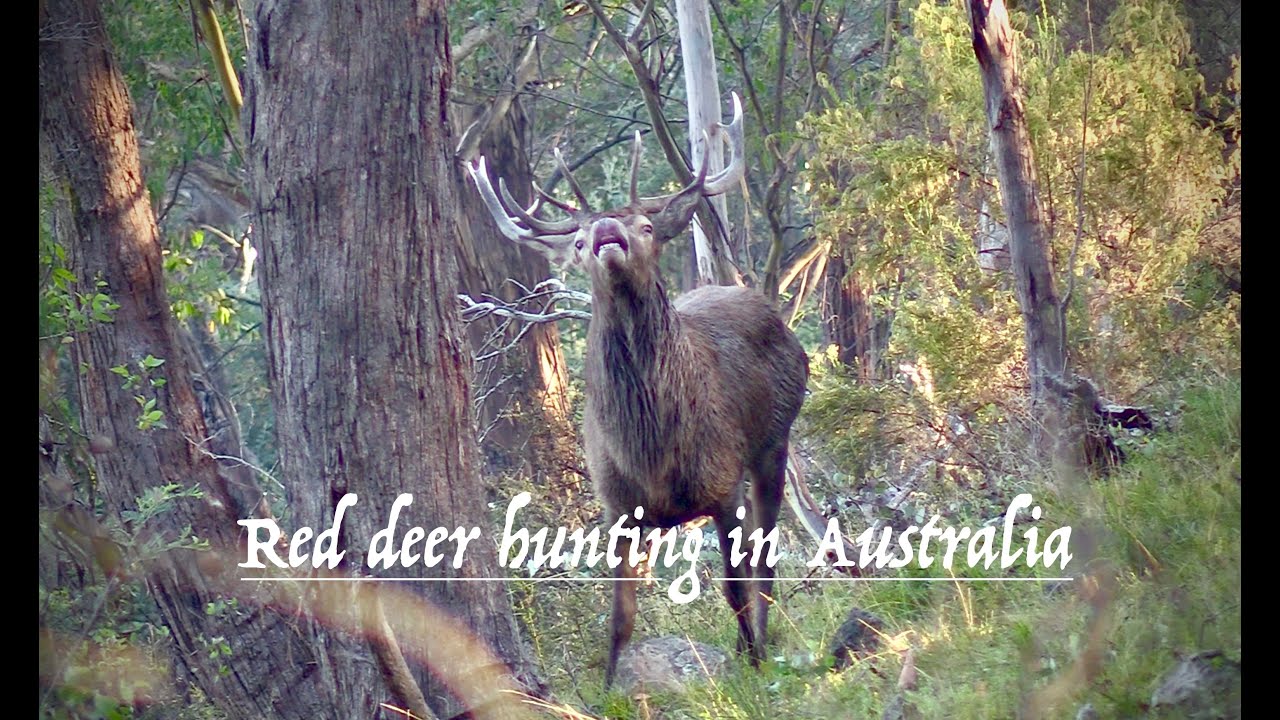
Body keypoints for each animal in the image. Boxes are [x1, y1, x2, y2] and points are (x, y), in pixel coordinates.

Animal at [466, 94, 810, 688]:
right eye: (578, 242)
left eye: (648, 225)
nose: (608, 228)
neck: (651, 451)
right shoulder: (617, 508)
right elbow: (620, 616)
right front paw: (608, 688)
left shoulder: (722, 482)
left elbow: (733, 586)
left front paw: (749, 661)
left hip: (773, 442)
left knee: (765, 560)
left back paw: (764, 645)